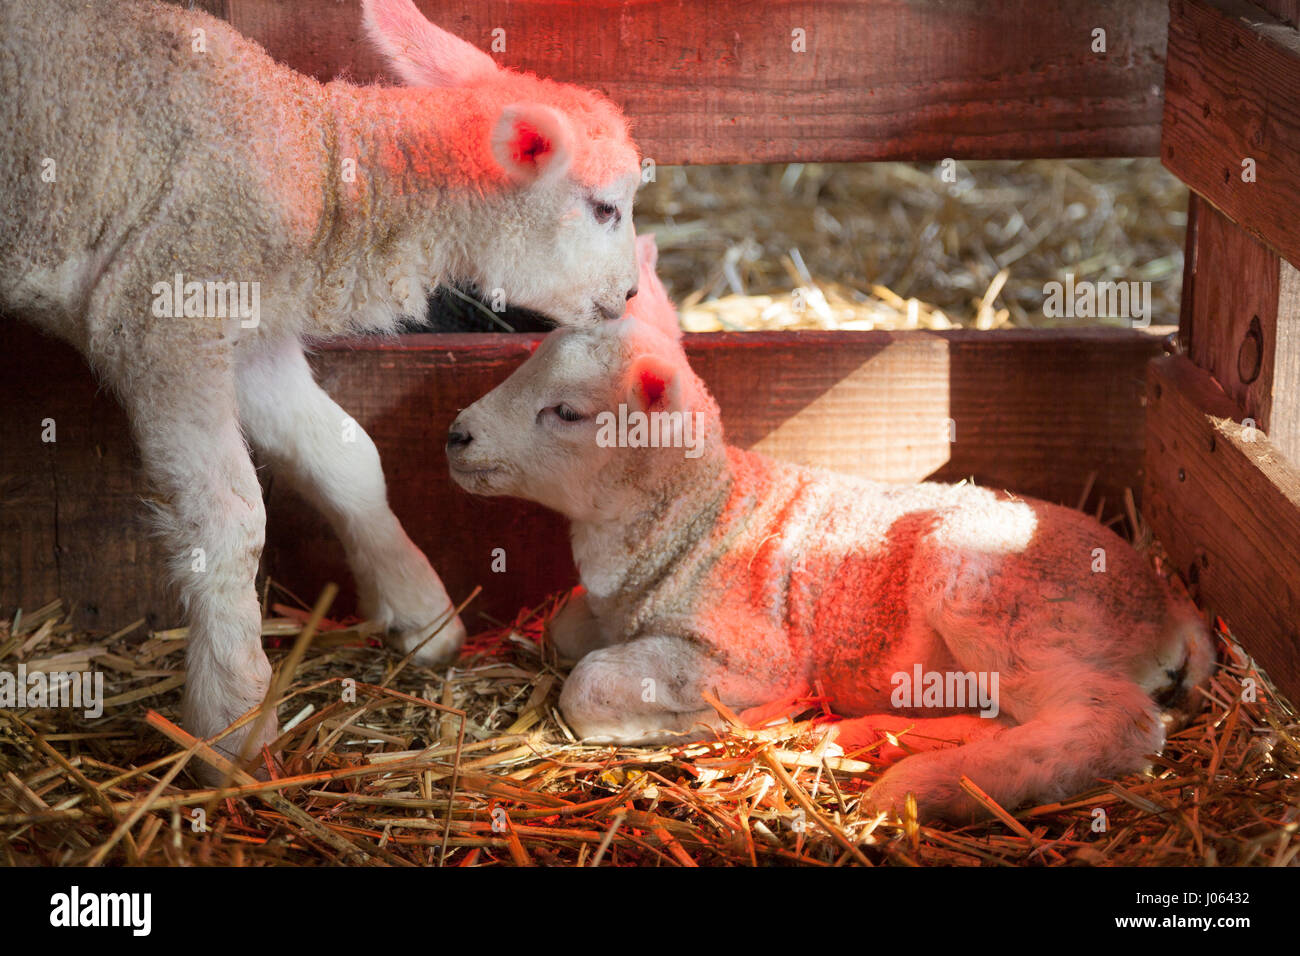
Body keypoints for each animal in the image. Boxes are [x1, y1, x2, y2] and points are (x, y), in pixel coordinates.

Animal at [0, 0, 641, 776]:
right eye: (605, 208)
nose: (631, 294)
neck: (325, 174)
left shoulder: (253, 336)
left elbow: (349, 459)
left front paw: (419, 612)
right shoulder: (165, 311)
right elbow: (229, 516)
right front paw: (233, 719)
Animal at [446, 235, 1216, 822]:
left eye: (567, 412)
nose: (455, 434)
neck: (695, 518)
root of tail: (1166, 603)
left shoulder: (753, 651)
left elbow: (588, 685)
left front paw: (723, 719)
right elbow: (564, 631)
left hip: (1003, 602)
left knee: (1113, 720)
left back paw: (924, 787)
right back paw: (881, 736)